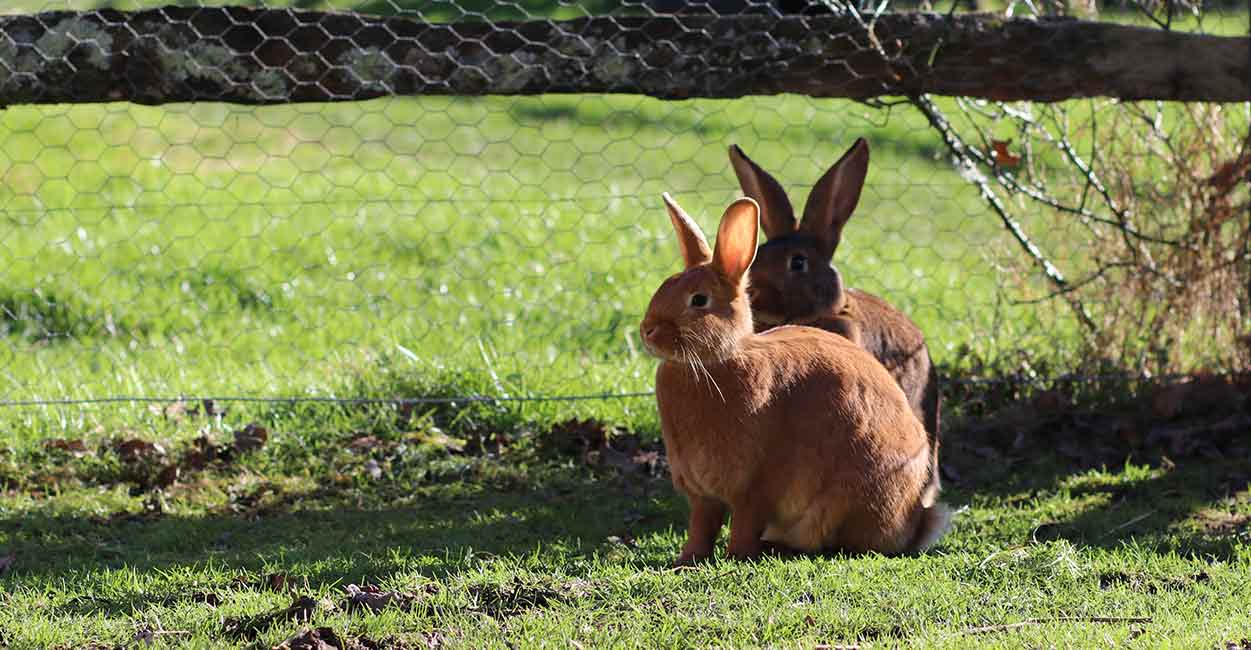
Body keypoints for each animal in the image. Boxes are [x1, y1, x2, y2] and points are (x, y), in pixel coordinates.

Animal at [640, 193, 950, 566]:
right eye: (663, 287)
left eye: (699, 300)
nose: (648, 331)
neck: (712, 362)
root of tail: (915, 524)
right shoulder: (703, 495)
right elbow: (701, 527)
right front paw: (685, 562)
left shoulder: (756, 486)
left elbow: (744, 523)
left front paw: (735, 558)